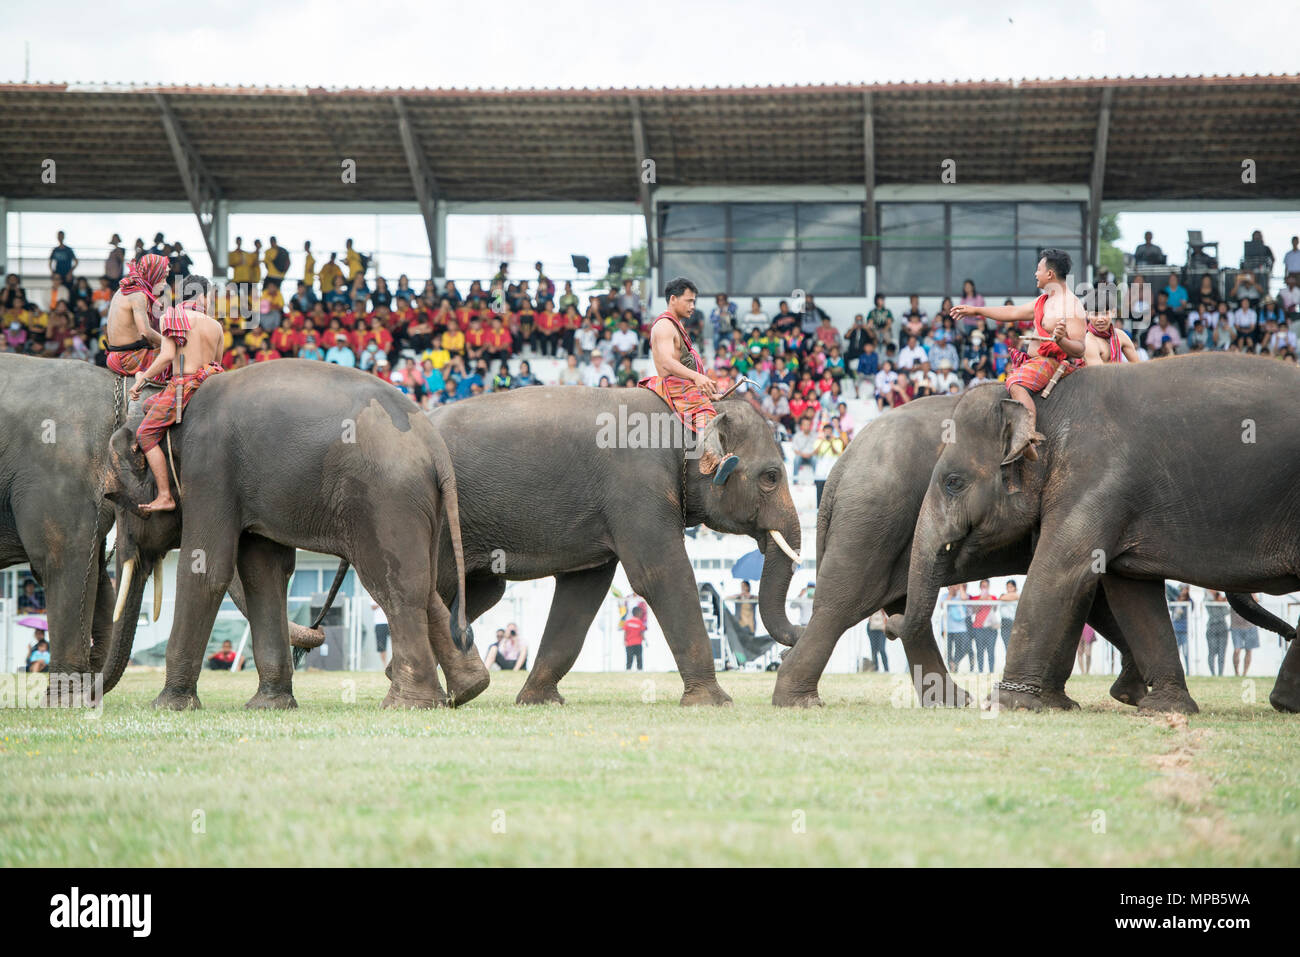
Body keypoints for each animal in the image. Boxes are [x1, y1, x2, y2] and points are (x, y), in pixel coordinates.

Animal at [104, 359, 472, 711]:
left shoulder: (209, 470)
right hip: (421, 506)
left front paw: (167, 705)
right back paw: (464, 689)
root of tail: (434, 444)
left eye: (115, 499)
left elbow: (205, 570)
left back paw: (407, 704)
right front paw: (269, 705)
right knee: (426, 585)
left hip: (385, 499)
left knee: (394, 586)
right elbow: (264, 574)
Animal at [404, 386, 803, 707]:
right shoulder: (638, 488)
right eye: (771, 477)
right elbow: (660, 575)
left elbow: (584, 591)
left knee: (484, 591)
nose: (792, 644)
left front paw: (539, 701)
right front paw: (714, 702)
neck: (683, 415)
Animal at [770, 392, 1295, 710]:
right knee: (846, 601)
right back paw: (800, 700)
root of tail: (840, 465)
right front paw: (1116, 694)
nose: (1288, 629)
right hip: (876, 516)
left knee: (900, 609)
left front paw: (1114, 694)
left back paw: (954, 702)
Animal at [894, 353, 1300, 714]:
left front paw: (1006, 704)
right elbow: (1129, 589)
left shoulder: (1097, 478)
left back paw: (1284, 701)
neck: (1047, 406)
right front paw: (1163, 708)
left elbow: (1057, 573)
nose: (890, 622)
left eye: (953, 483)